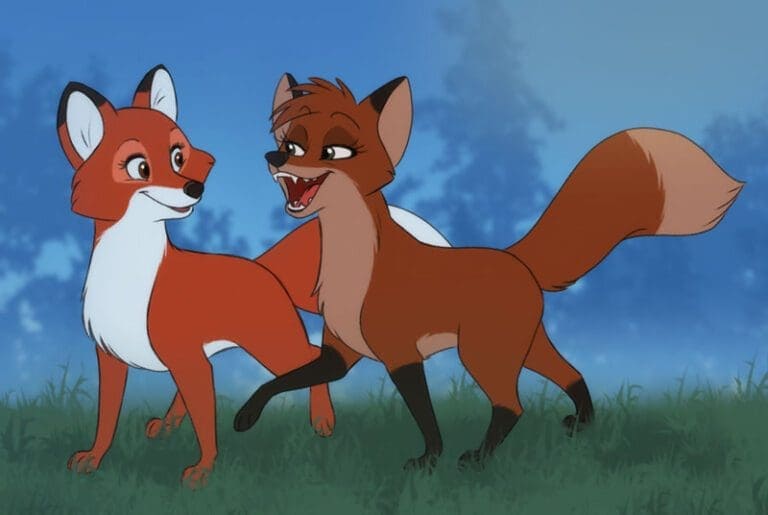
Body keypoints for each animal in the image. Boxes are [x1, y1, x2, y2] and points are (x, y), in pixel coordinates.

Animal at [233, 74, 743, 471]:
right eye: (289, 143)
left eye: (335, 151)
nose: (274, 158)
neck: (353, 268)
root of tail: (515, 257)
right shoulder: (340, 355)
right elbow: (283, 379)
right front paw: (245, 417)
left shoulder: (401, 355)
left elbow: (425, 415)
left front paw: (429, 461)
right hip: (523, 347)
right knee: (572, 375)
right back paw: (580, 426)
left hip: (483, 354)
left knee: (511, 405)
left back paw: (477, 460)